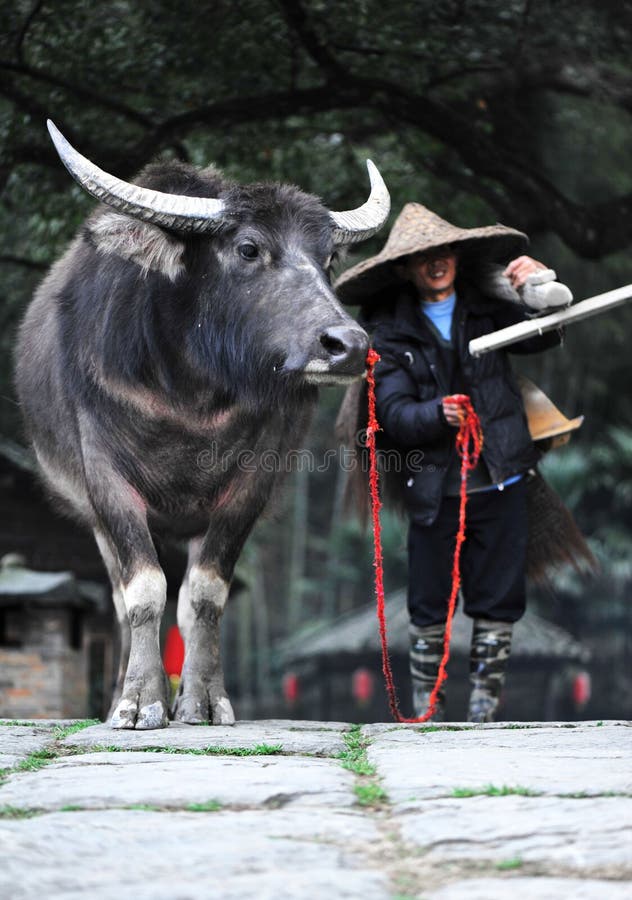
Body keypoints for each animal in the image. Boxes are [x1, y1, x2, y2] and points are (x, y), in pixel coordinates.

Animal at [15, 121, 390, 729]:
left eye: (329, 256)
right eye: (248, 248)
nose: (348, 345)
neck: (188, 392)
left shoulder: (251, 484)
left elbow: (205, 596)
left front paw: (204, 701)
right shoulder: (105, 480)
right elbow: (143, 591)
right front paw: (139, 701)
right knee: (119, 602)